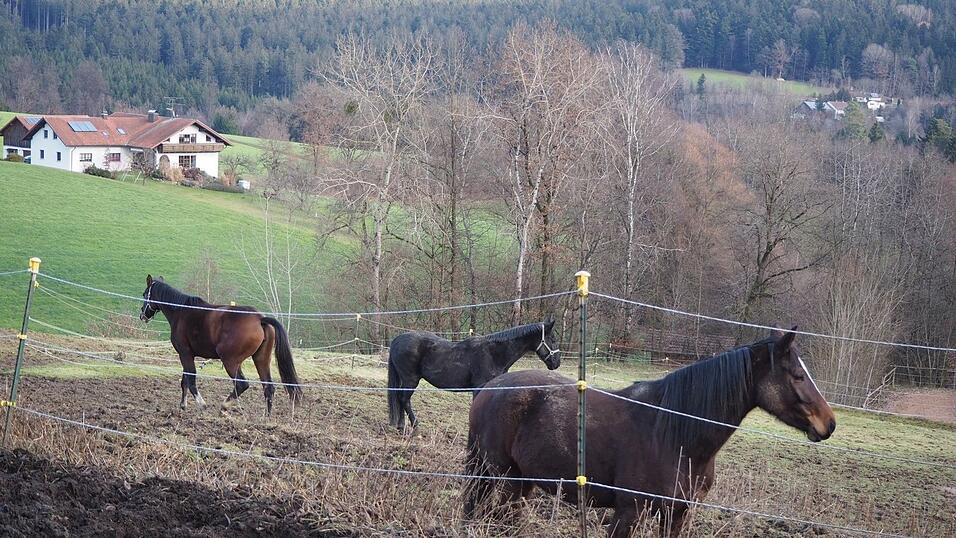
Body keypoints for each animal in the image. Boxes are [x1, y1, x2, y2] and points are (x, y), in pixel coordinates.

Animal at [139, 275, 303, 414]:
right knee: (268, 388)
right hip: (261, 359)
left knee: (242, 384)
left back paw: (225, 405)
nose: (142, 315)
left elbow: (190, 379)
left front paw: (201, 405)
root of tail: (259, 319)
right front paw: (183, 405)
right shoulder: (186, 355)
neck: (181, 311)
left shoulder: (185, 353)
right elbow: (184, 380)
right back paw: (266, 418)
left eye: (145, 294)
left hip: (230, 361)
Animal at [387, 318, 561, 430]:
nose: (556, 363)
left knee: (400, 398)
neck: (493, 353)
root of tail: (397, 340)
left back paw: (401, 425)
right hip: (411, 379)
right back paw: (414, 425)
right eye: (552, 339)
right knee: (404, 399)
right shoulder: (480, 387)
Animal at [465, 328, 835, 537]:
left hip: (518, 480)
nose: (829, 423)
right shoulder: (630, 512)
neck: (677, 437)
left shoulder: (677, 514)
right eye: (798, 375)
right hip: (505, 479)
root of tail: (491, 387)